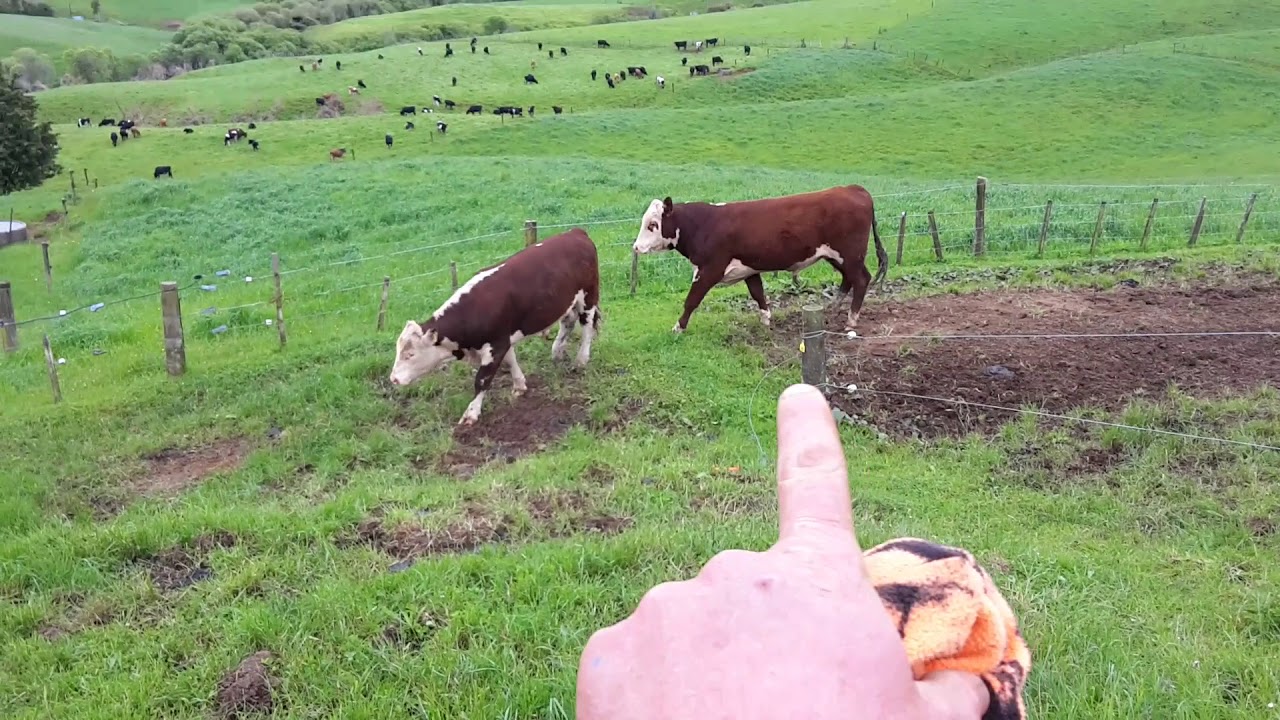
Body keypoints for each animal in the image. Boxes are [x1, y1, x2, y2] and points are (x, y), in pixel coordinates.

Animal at [388, 227, 602, 425]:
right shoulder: (503, 339)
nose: (393, 379)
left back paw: (581, 359)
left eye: (410, 354)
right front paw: (519, 385)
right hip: (567, 301)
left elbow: (482, 379)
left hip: (588, 297)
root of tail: (575, 232)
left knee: (586, 327)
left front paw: (471, 413)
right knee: (568, 322)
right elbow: (511, 361)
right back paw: (557, 351)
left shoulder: (495, 345)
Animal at [631, 187, 888, 333]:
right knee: (849, 279)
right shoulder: (749, 269)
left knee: (861, 279)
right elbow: (758, 294)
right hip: (835, 256)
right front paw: (766, 320)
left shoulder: (709, 270)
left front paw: (678, 327)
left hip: (850, 254)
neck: (704, 224)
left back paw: (851, 320)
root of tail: (854, 188)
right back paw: (833, 307)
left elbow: (691, 300)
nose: (636, 246)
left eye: (652, 224)